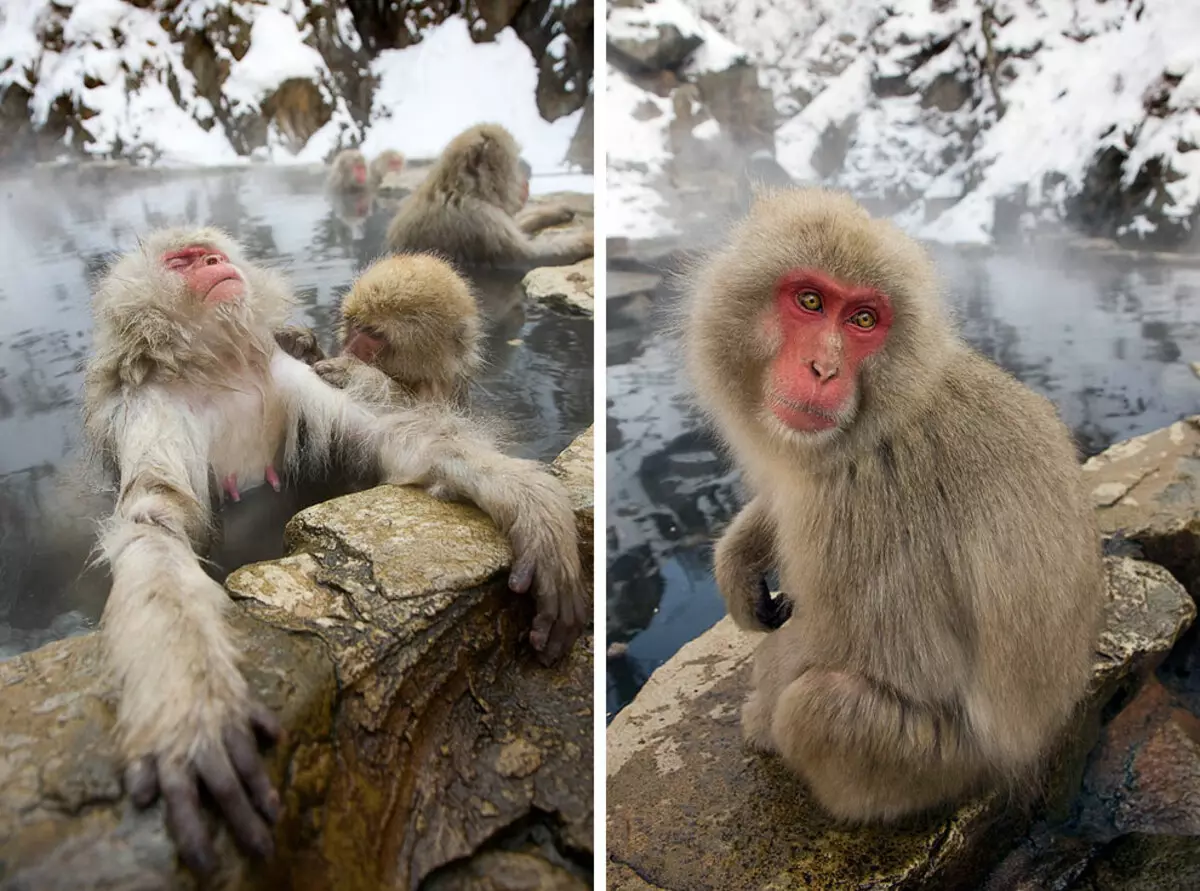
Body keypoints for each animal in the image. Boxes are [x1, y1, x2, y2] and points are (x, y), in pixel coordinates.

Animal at [81, 230, 585, 878]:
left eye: (207, 253)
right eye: (183, 261)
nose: (215, 263)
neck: (217, 370)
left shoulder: (288, 375)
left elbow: (390, 434)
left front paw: (532, 506)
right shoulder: (151, 405)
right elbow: (157, 521)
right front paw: (191, 708)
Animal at [686, 186, 1104, 821]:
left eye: (863, 320)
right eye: (810, 301)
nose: (824, 368)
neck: (877, 419)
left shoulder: (866, 503)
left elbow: (903, 661)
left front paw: (760, 714)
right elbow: (785, 491)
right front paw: (738, 565)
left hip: (940, 763)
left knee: (820, 706)